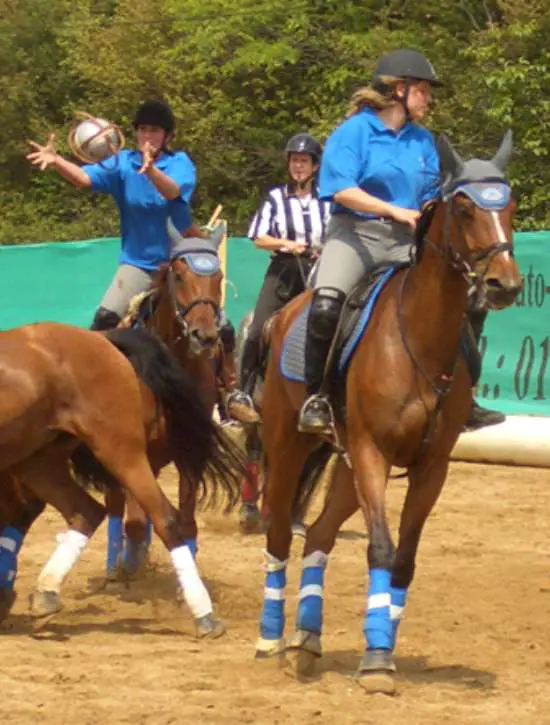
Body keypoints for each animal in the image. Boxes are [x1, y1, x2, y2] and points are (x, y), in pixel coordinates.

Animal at [0, 322, 244, 635]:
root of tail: (103, 339)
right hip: (39, 462)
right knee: (84, 510)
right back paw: (45, 593)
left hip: (120, 451)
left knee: (165, 518)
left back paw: (205, 616)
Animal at [253, 133, 523, 693]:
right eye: (464, 208)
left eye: (508, 206)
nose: (503, 285)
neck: (419, 338)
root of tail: (288, 312)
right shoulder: (372, 452)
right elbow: (380, 546)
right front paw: (376, 663)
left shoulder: (431, 467)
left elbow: (403, 560)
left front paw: (382, 643)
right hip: (290, 446)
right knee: (279, 532)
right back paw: (270, 640)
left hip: (346, 466)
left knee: (318, 534)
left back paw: (306, 642)